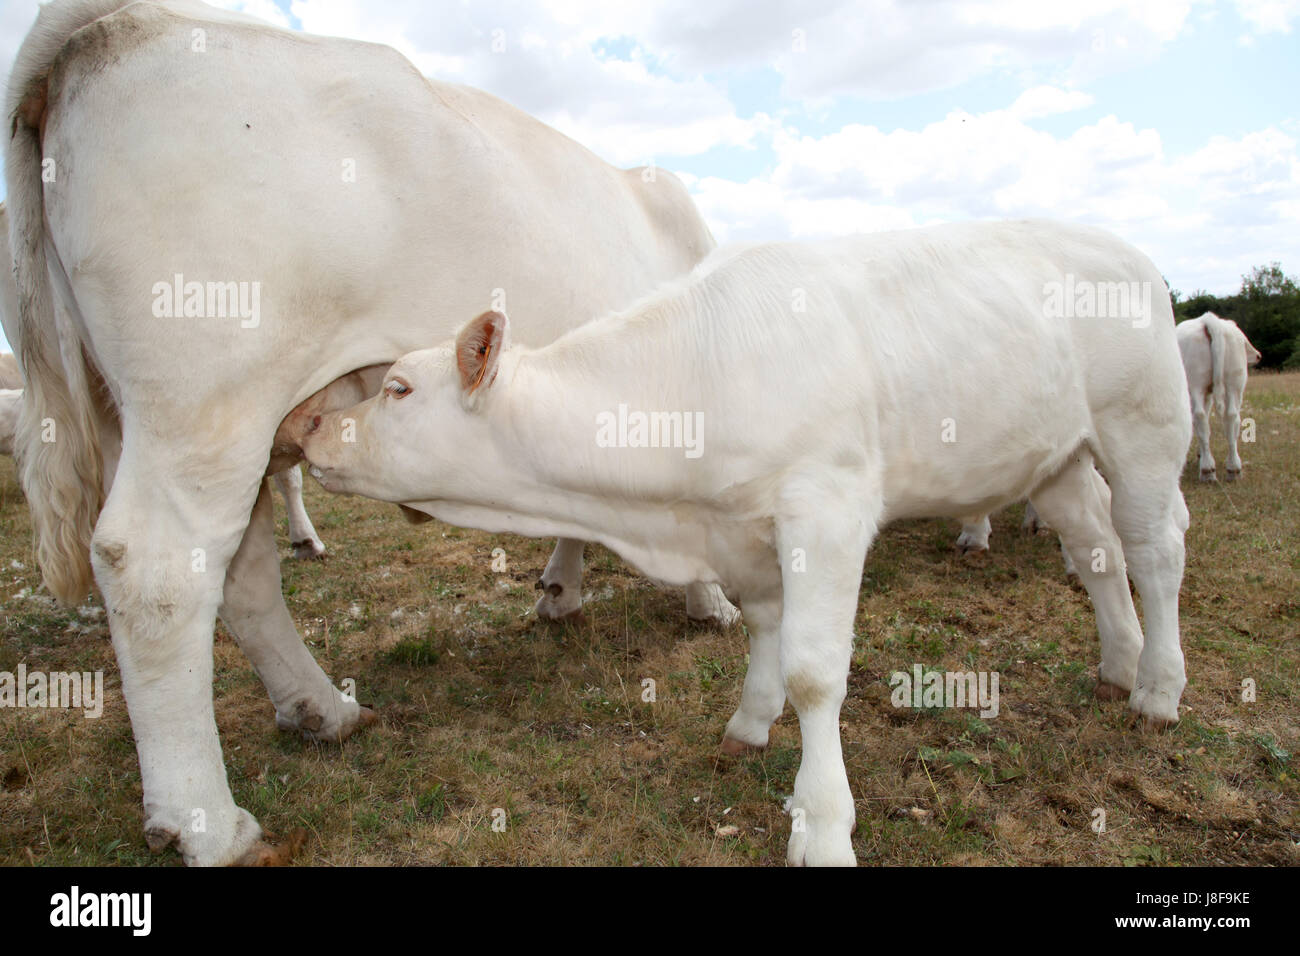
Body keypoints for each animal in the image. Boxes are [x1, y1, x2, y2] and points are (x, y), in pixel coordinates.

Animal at [7, 0, 734, 865]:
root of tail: (120, 20)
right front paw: (707, 599)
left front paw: (563, 590)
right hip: (206, 403)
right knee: (157, 572)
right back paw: (207, 821)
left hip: (143, 414)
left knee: (241, 571)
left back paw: (323, 710)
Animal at [301, 222, 1194, 866]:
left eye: (397, 388)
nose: (308, 426)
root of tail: (1130, 251)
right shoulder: (742, 531)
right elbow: (766, 629)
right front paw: (749, 724)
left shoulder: (827, 507)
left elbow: (814, 672)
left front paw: (823, 826)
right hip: (1059, 456)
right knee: (1097, 551)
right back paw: (1118, 664)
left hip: (1145, 430)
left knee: (1154, 553)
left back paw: (1157, 691)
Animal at [1176, 312, 1262, 482]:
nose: (1258, 355)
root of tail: (1208, 320)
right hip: (1235, 382)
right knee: (1231, 418)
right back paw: (1233, 468)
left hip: (1196, 384)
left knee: (1200, 417)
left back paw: (1207, 469)